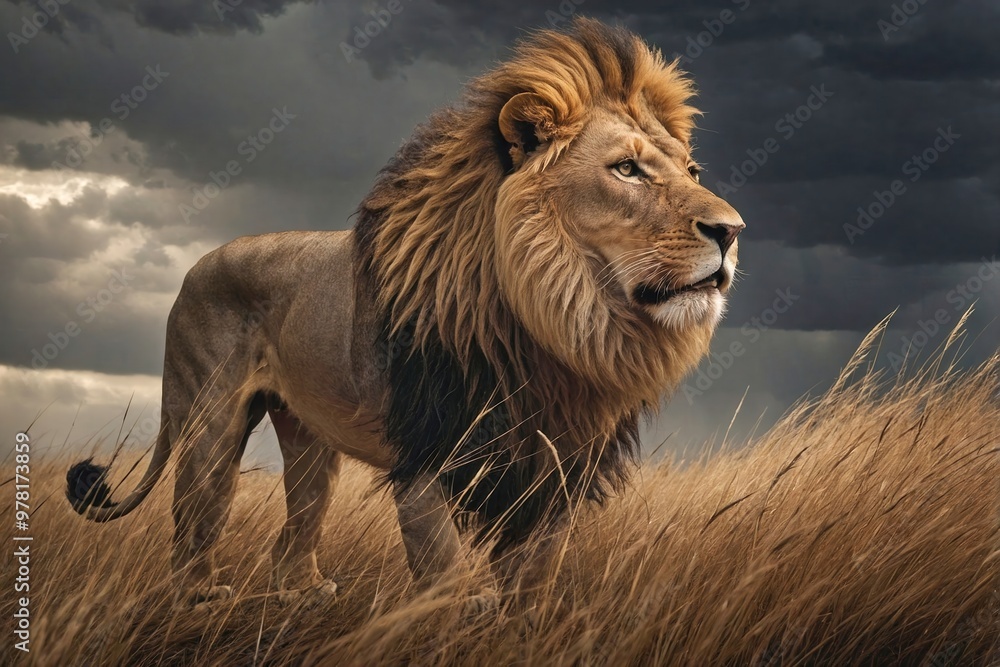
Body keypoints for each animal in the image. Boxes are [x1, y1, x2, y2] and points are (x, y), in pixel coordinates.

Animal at [65, 18, 744, 613]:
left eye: (691, 171)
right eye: (626, 169)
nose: (732, 230)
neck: (556, 327)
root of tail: (198, 264)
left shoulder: (557, 467)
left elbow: (534, 577)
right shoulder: (425, 453)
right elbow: (442, 569)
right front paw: (450, 619)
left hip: (310, 438)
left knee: (294, 529)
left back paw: (304, 594)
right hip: (208, 422)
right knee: (192, 517)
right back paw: (198, 599)